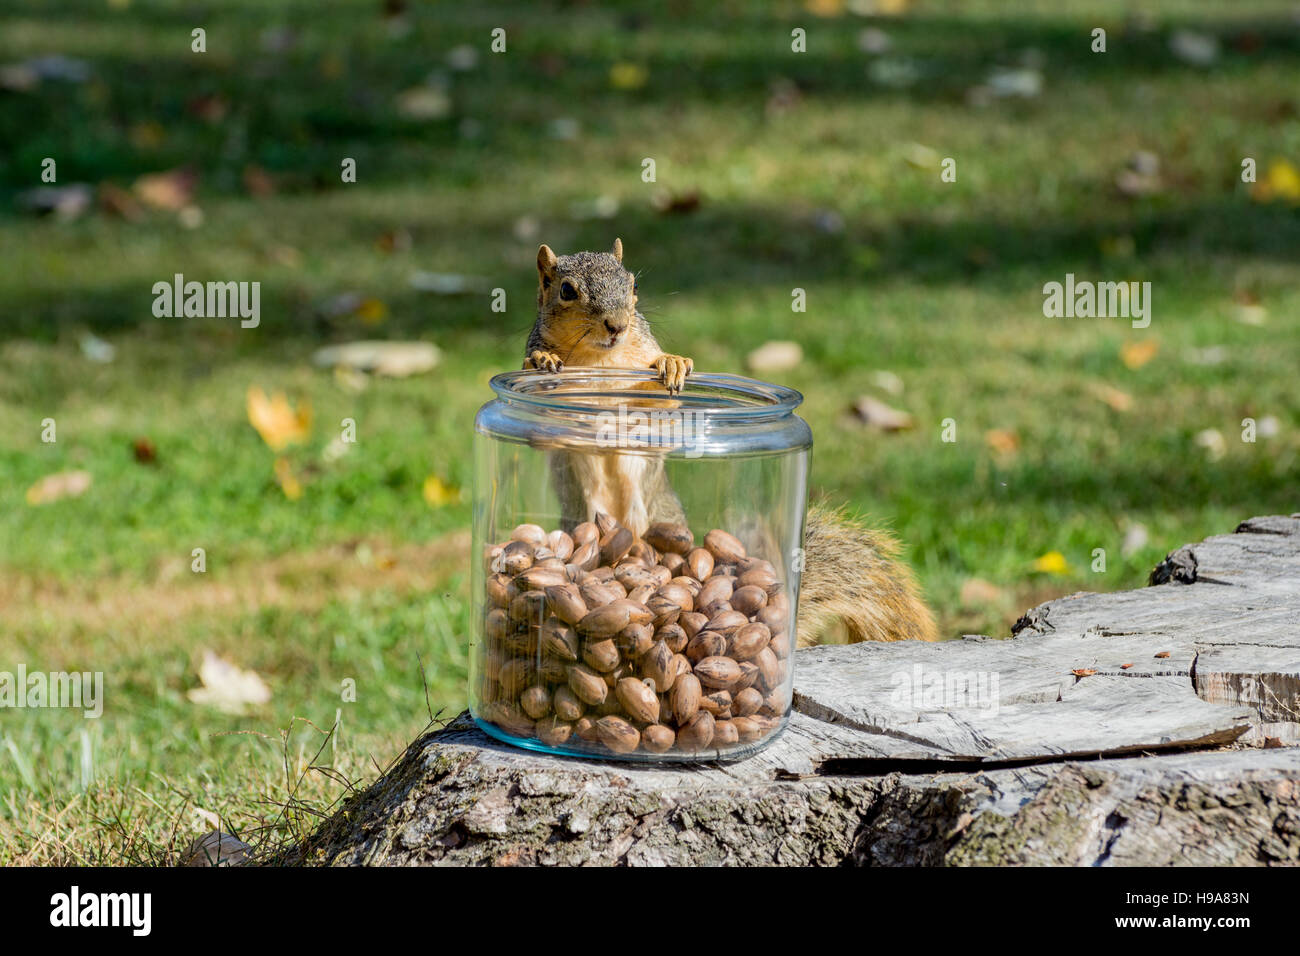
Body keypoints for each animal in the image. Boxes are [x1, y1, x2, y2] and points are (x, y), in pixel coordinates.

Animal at [523, 238, 938, 646]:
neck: (600, 358)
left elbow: (663, 408)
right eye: (566, 290)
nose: (618, 326)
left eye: (633, 285)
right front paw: (541, 361)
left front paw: (672, 363)